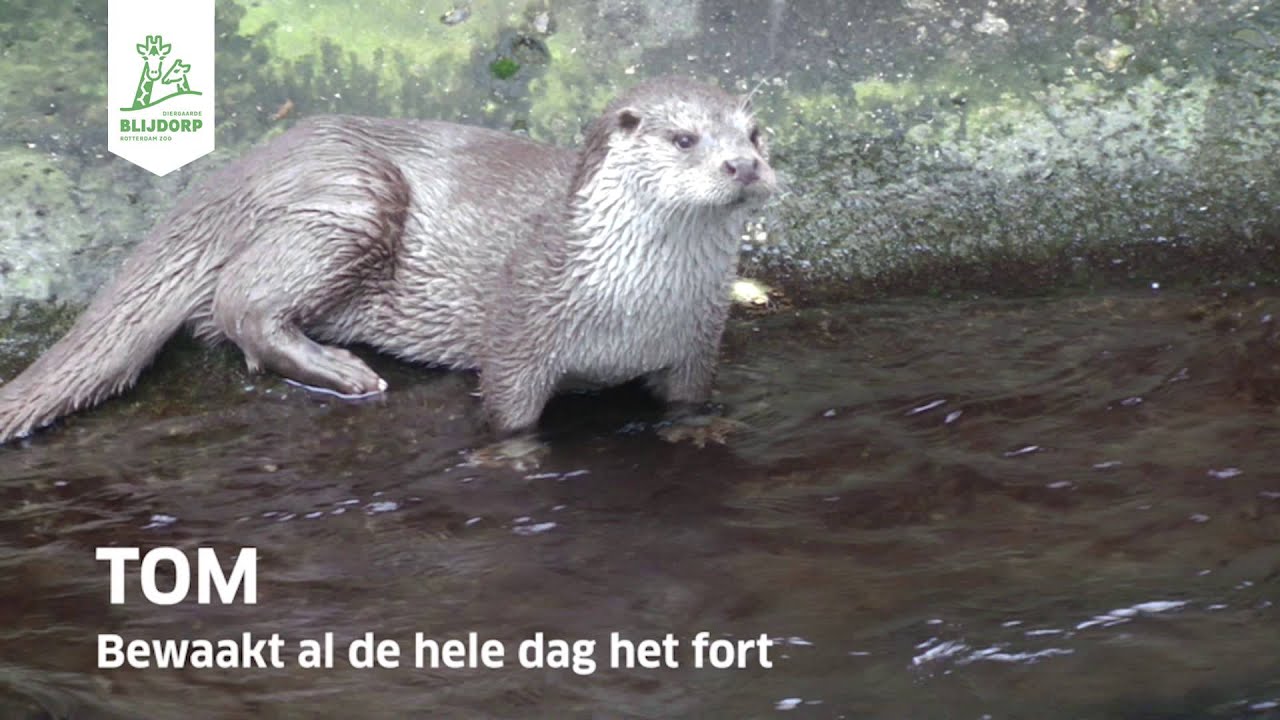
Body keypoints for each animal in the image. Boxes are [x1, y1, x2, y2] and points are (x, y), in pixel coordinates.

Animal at [0, 76, 776, 444]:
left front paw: (706, 429)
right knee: (239, 303)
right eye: (683, 139)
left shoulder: (697, 340)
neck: (636, 305)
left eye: (756, 134)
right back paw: (345, 374)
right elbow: (508, 413)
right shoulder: (522, 327)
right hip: (353, 196)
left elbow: (687, 401)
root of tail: (247, 167)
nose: (742, 166)